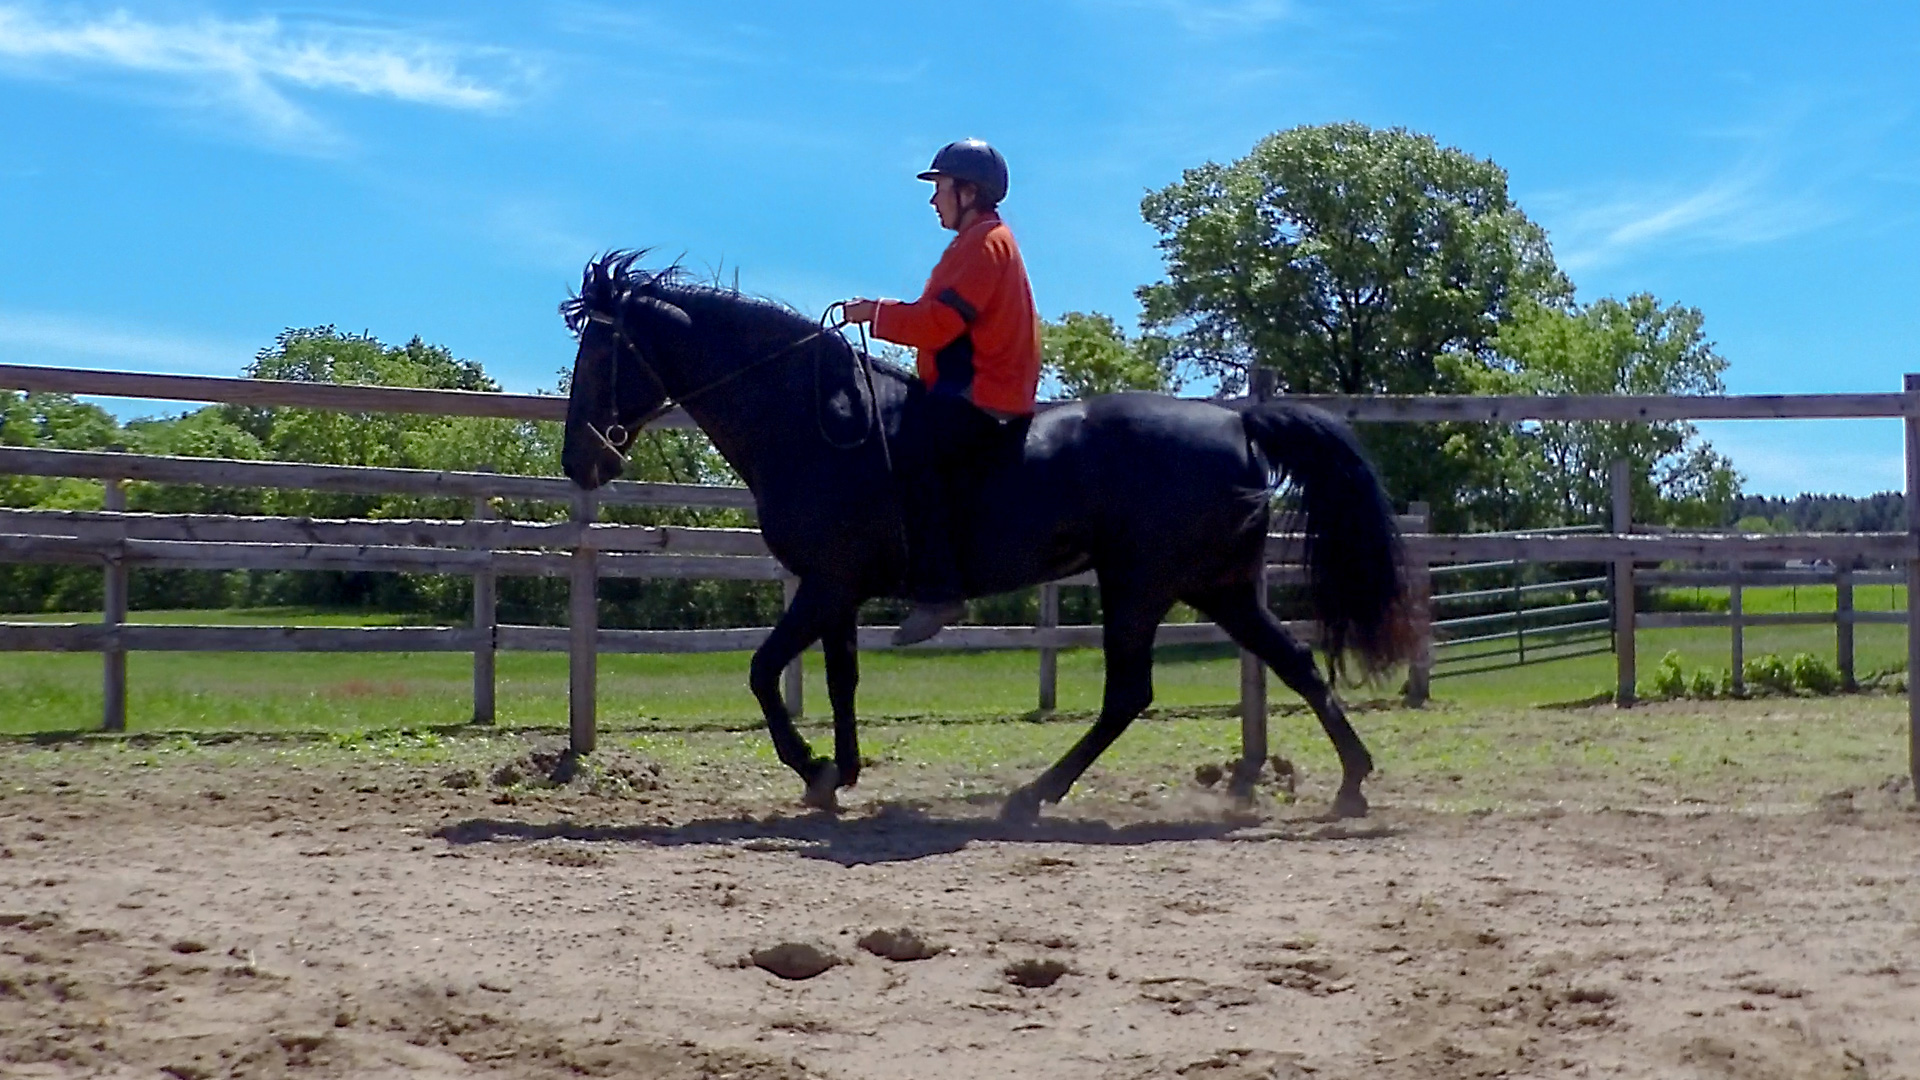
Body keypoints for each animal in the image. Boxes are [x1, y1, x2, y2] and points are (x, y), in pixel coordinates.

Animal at [558, 252, 1413, 823]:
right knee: (1294, 661)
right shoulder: (837, 594)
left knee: (1129, 694)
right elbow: (839, 682)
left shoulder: (827, 586)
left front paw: (813, 769)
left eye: (598, 355)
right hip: (1218, 587)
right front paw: (843, 771)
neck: (815, 419)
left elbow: (764, 672)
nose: (580, 461)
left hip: (1139, 586)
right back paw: (1351, 782)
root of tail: (1237, 422)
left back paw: (1034, 795)